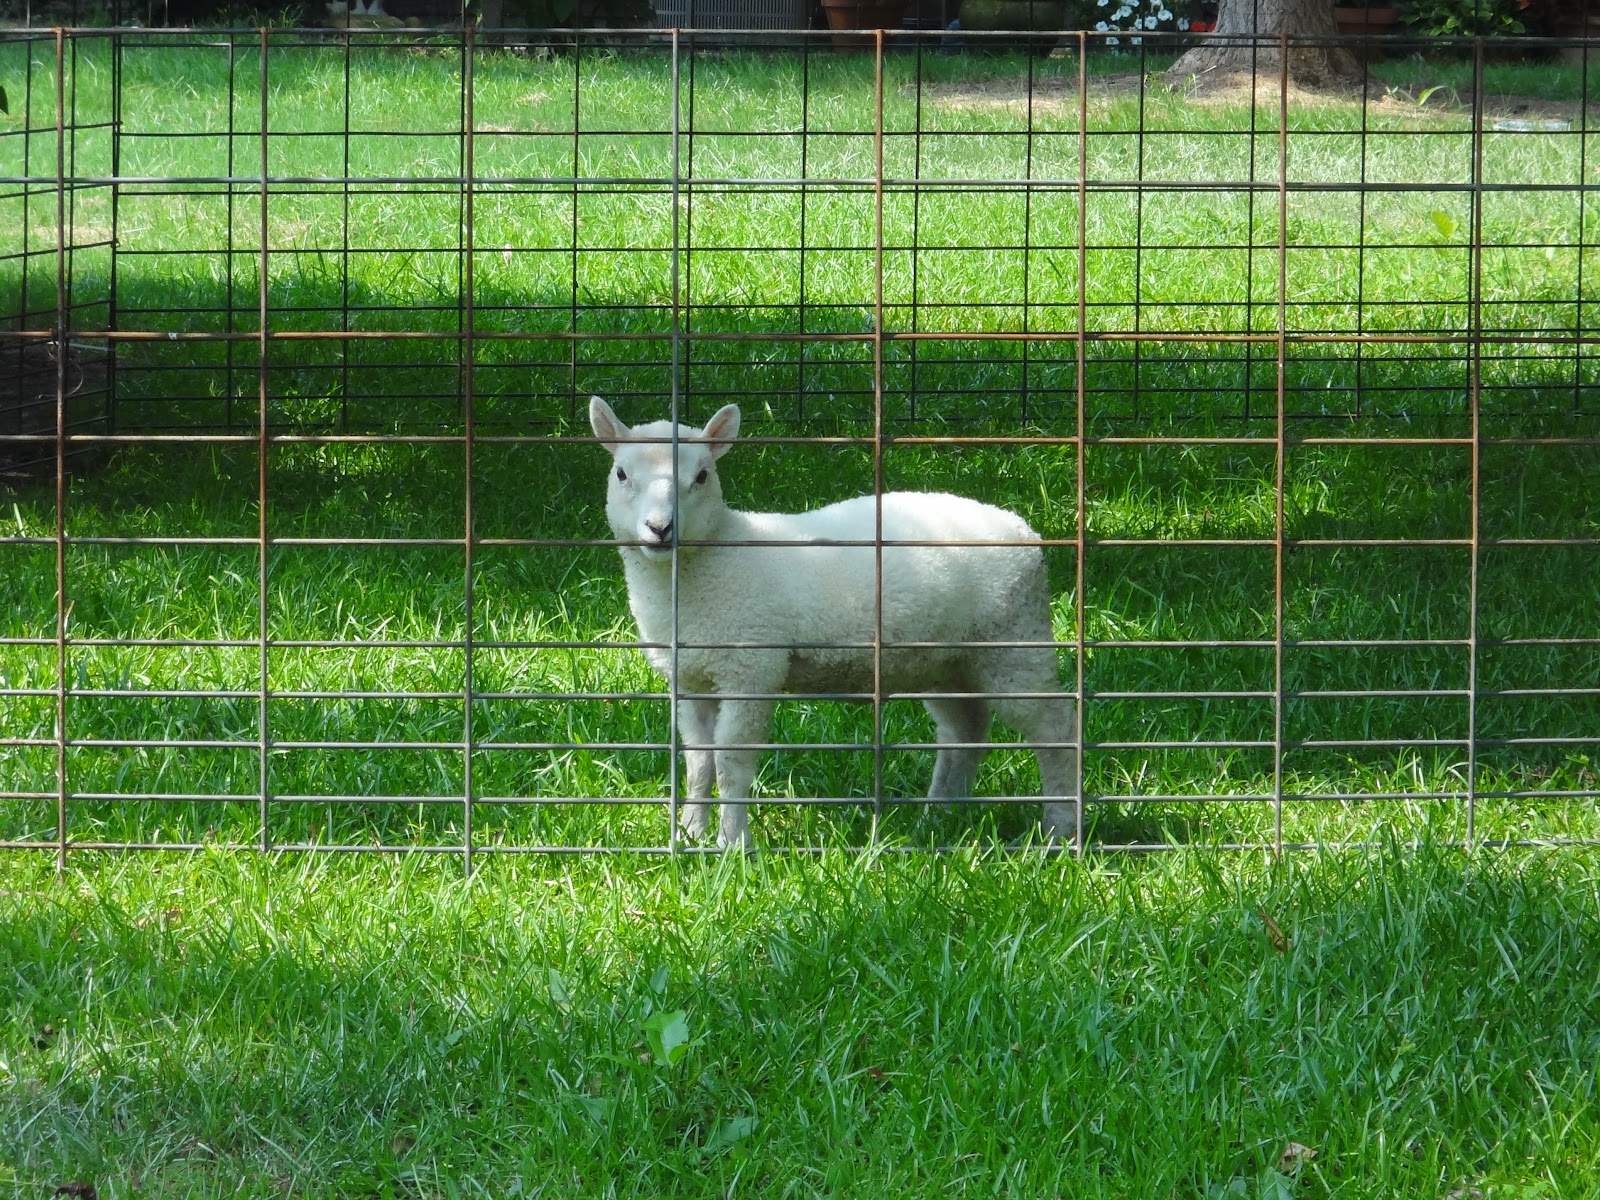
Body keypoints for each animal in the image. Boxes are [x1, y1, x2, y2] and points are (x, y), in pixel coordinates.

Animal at [589, 395, 1078, 849]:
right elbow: (698, 761)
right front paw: (690, 834)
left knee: (1055, 727)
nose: (659, 529)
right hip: (947, 659)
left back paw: (1061, 828)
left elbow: (732, 761)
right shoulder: (691, 678)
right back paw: (940, 814)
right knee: (965, 729)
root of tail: (1022, 529)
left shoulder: (751, 669)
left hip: (1013, 639)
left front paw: (732, 844)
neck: (713, 564)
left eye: (702, 476)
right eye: (621, 474)